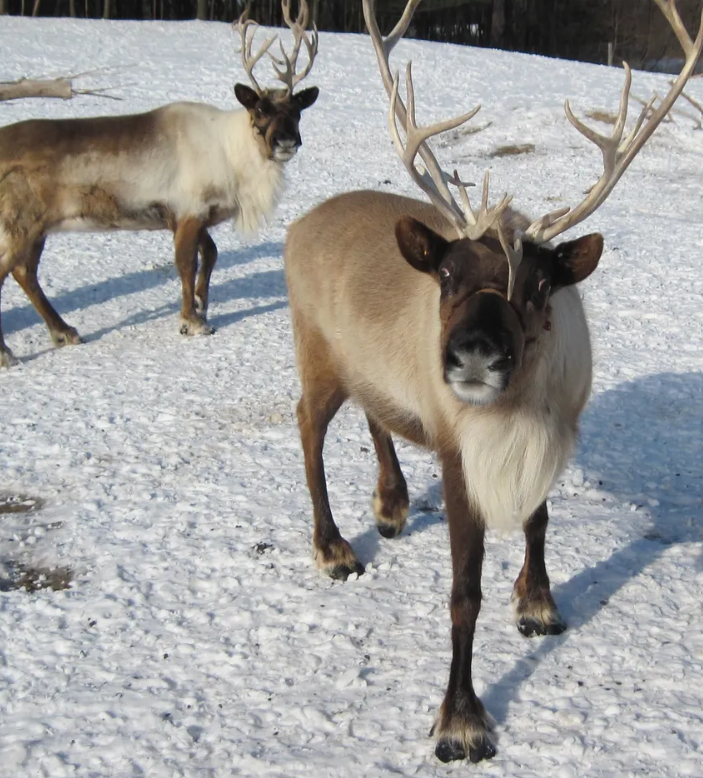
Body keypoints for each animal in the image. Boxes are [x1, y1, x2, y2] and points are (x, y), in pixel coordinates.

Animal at [0, 0, 319, 369]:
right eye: (260, 109)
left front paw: (201, 305)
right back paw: (7, 352)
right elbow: (187, 263)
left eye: (297, 111)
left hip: (38, 228)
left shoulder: (191, 215)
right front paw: (191, 322)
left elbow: (210, 254)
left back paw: (64, 332)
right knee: (10, 270)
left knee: (24, 271)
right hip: (21, 222)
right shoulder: (188, 211)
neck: (234, 157)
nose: (286, 141)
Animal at [284, 0, 703, 764]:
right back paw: (333, 548)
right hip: (316, 352)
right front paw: (461, 721)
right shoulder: (460, 456)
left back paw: (390, 507)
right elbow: (463, 593)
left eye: (536, 284)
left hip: (363, 367)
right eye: (448, 274)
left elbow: (538, 519)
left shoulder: (555, 433)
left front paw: (537, 602)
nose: (473, 354)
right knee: (307, 425)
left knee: (374, 414)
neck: (517, 415)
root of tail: (298, 222)